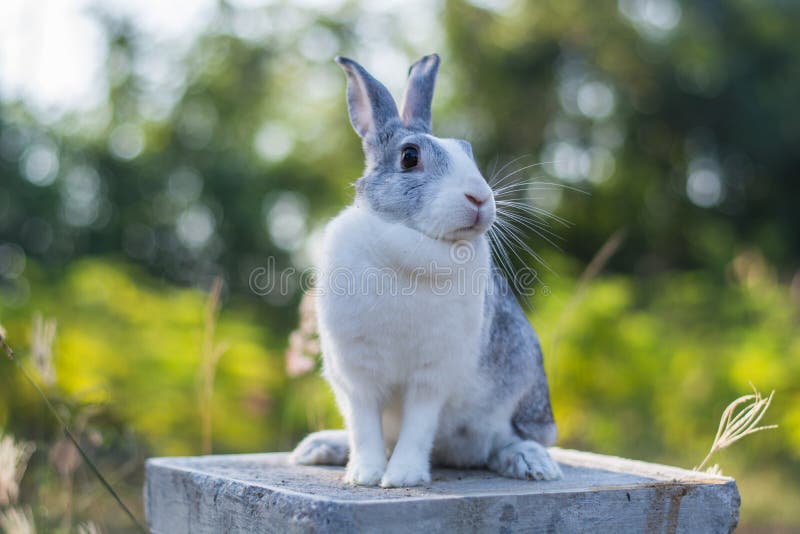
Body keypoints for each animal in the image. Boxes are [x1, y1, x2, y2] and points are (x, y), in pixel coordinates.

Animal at [290, 53, 561, 487]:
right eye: (409, 157)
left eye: (469, 151)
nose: (480, 198)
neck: (411, 240)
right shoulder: (357, 374)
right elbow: (364, 427)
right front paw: (365, 476)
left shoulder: (431, 376)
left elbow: (418, 427)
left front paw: (402, 478)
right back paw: (319, 448)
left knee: (501, 442)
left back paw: (531, 462)